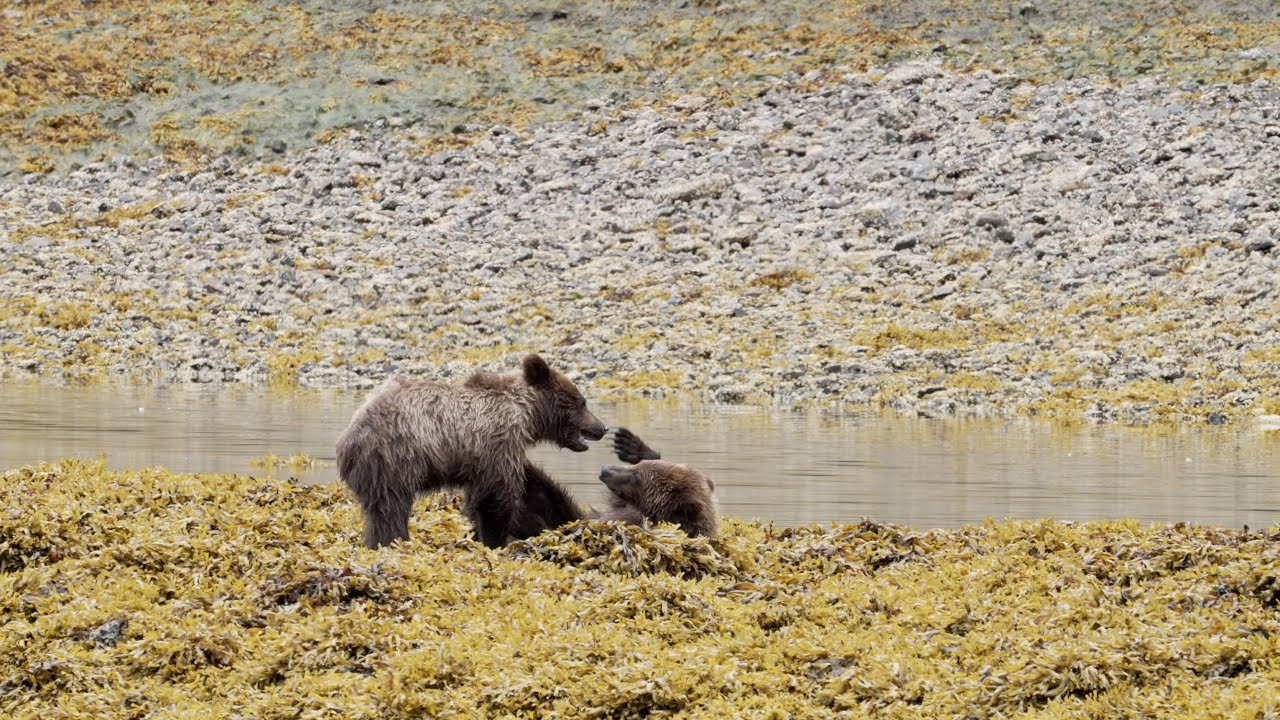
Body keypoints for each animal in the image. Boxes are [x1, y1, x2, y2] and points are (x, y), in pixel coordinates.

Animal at [335, 353, 608, 549]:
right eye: (582, 402)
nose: (602, 427)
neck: (526, 413)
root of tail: (348, 439)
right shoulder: (498, 443)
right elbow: (496, 497)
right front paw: (495, 539)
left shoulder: (478, 460)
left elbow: (478, 498)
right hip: (393, 458)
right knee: (390, 507)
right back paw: (394, 540)